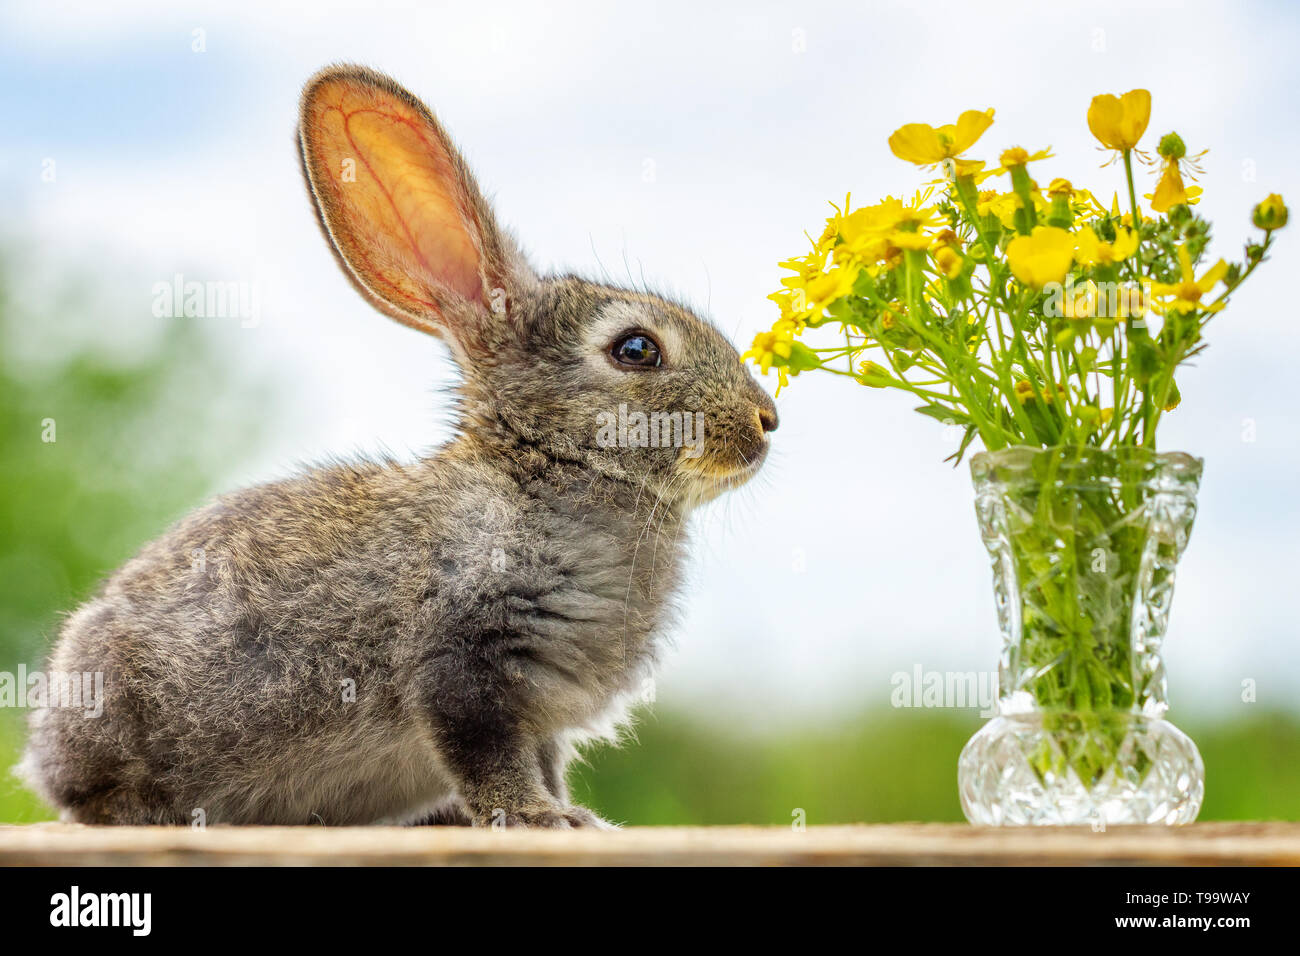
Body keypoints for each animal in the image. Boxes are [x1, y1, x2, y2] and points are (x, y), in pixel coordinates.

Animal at [17, 64, 778, 827]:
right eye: (636, 349)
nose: (766, 421)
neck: (545, 466)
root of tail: (45, 755)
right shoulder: (461, 663)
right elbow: (489, 758)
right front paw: (542, 819)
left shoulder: (537, 714)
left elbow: (541, 762)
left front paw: (573, 816)